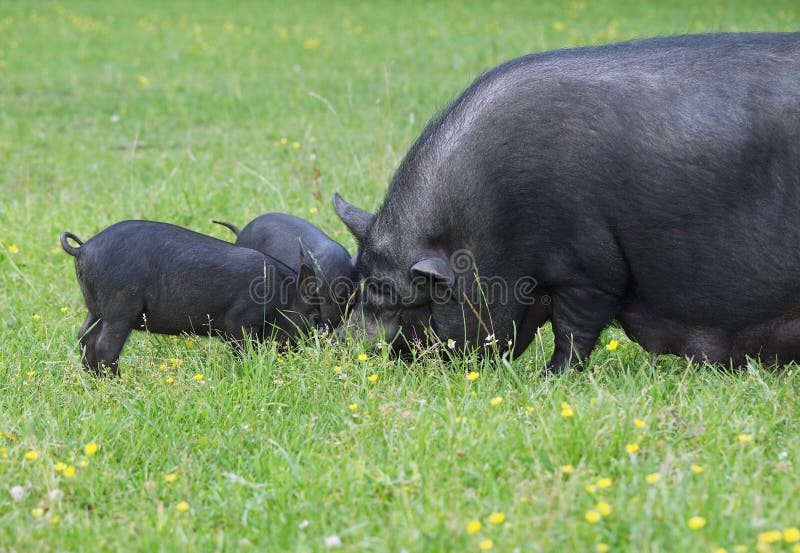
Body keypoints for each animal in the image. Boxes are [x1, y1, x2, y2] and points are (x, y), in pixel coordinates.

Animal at [60, 220, 322, 375]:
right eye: (314, 317)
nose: (310, 353)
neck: (283, 295)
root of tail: (83, 248)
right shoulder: (240, 322)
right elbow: (246, 350)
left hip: (95, 308)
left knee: (84, 335)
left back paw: (93, 378)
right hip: (120, 308)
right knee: (105, 345)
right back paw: (116, 382)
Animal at [333, 32, 800, 371]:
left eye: (394, 296)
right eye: (360, 279)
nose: (342, 345)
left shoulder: (590, 270)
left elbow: (573, 329)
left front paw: (551, 376)